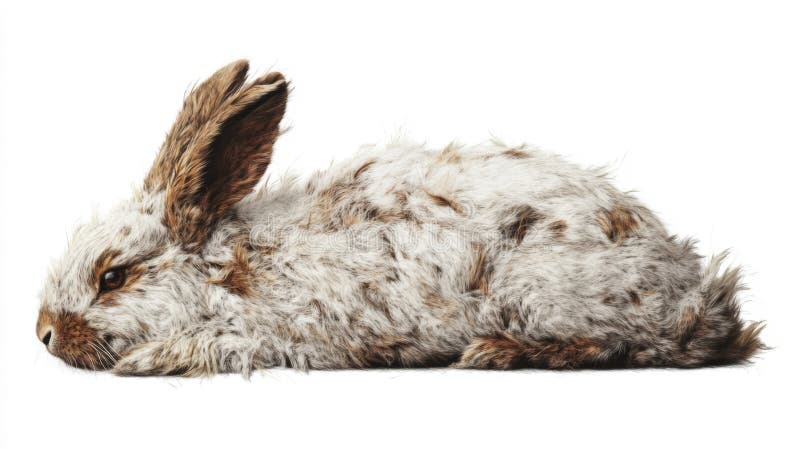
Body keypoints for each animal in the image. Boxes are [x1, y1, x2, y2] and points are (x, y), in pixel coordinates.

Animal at [35, 60, 765, 376]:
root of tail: (702, 296)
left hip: (543, 293)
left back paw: (494, 353)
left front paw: (147, 360)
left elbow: (220, 345)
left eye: (112, 277)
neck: (222, 267)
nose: (42, 333)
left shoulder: (286, 332)